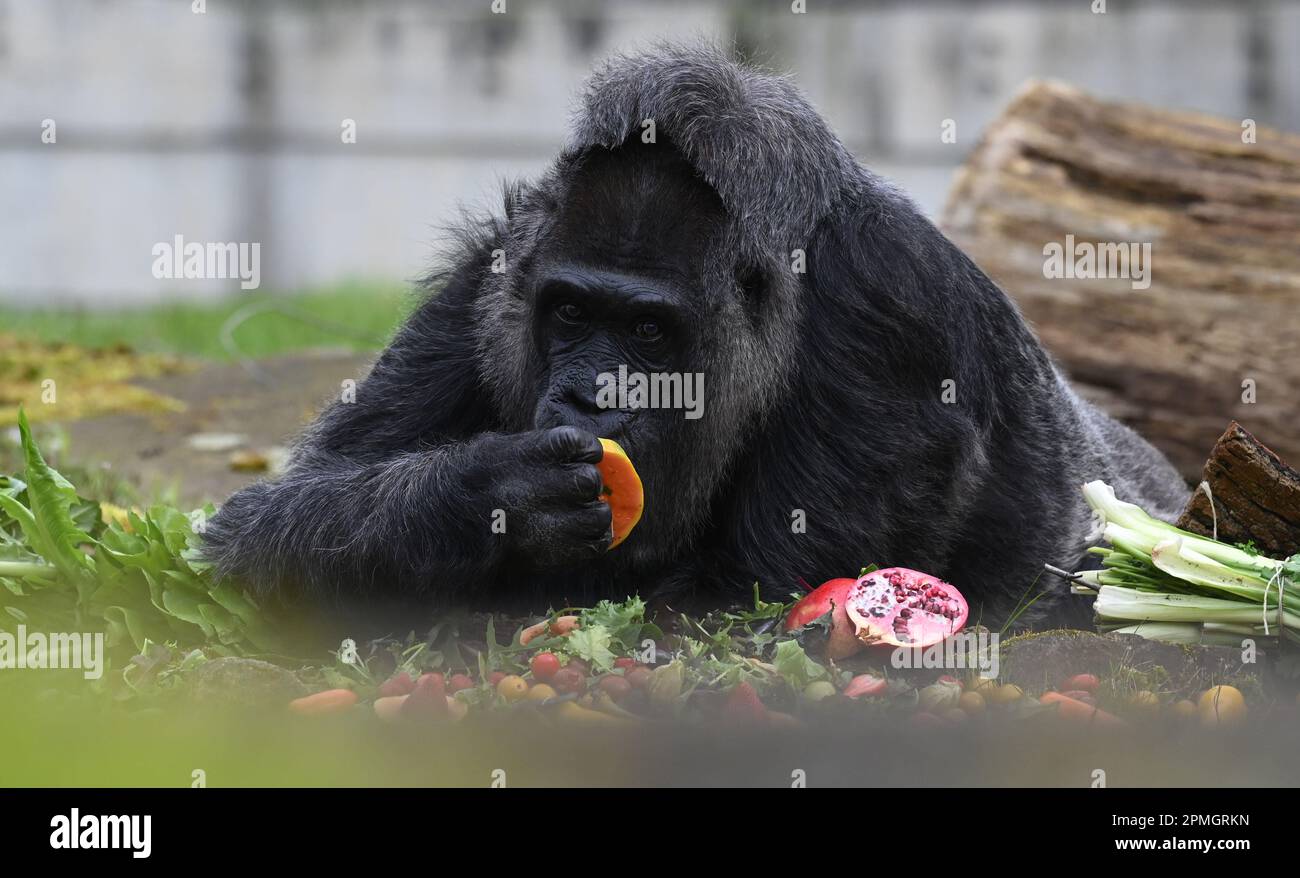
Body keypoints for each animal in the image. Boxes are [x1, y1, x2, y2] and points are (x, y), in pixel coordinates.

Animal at [202, 43, 1189, 629]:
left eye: (648, 331)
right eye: (570, 313)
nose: (588, 396)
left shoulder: (890, 311)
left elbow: (732, 604)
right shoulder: (490, 271)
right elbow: (269, 521)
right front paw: (482, 496)